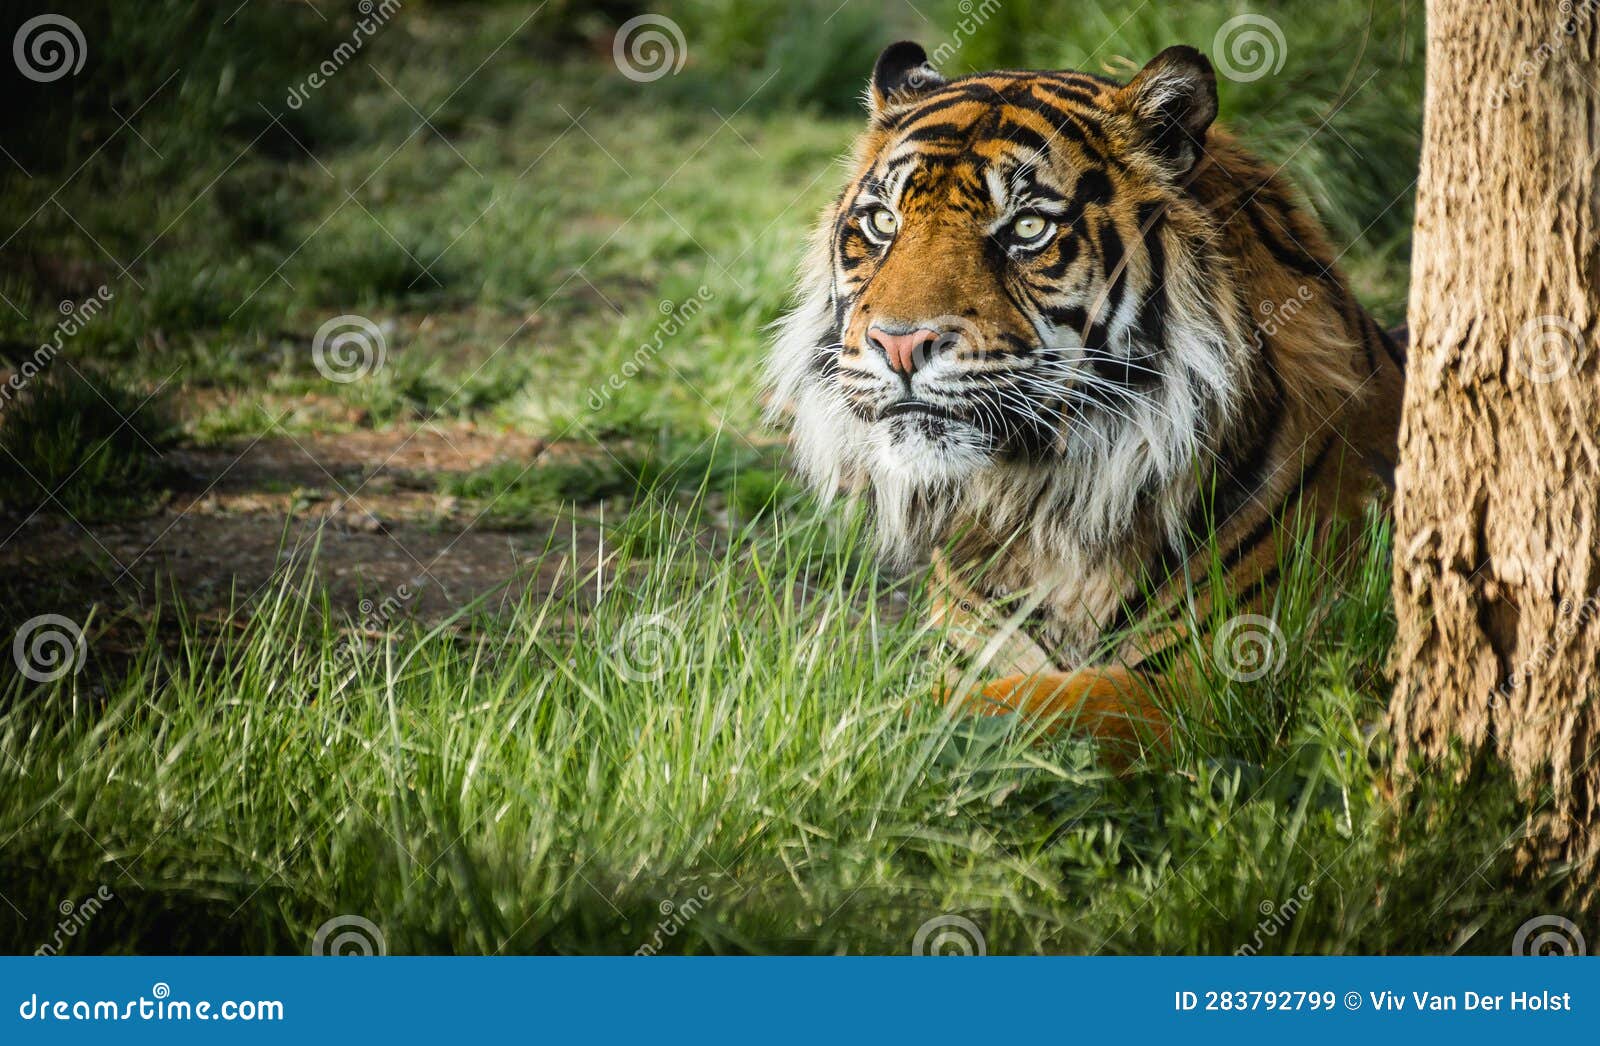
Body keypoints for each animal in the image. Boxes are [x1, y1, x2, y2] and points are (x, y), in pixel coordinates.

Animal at [765, 41, 1406, 756]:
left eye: (1027, 228)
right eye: (882, 222)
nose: (899, 345)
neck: (1039, 514)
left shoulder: (1214, 679)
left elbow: (1014, 705)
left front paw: (838, 732)